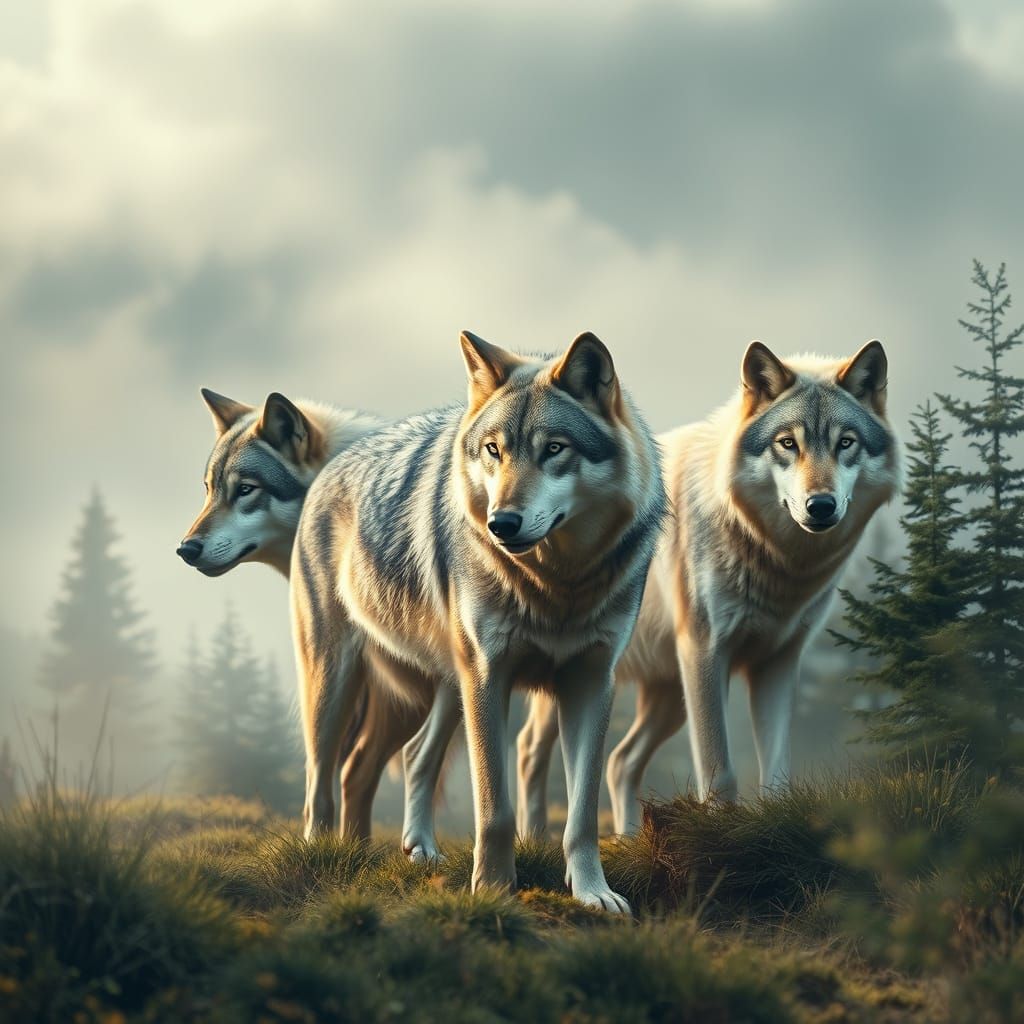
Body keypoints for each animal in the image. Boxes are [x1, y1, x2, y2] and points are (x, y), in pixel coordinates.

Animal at [294, 331, 665, 909]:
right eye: (494, 450)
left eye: (554, 449)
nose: (501, 523)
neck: (557, 585)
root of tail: (335, 463)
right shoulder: (490, 677)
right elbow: (495, 810)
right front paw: (492, 891)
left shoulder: (590, 681)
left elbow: (581, 815)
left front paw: (592, 894)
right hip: (340, 682)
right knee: (321, 777)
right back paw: (326, 855)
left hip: (440, 691)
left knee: (398, 760)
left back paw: (397, 851)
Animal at [513, 339, 899, 836]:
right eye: (787, 443)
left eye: (845, 443)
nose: (820, 505)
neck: (777, 558)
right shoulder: (705, 651)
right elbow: (720, 769)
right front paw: (723, 831)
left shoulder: (778, 661)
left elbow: (777, 767)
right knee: (528, 749)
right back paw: (533, 839)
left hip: (667, 695)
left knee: (619, 761)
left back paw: (628, 838)